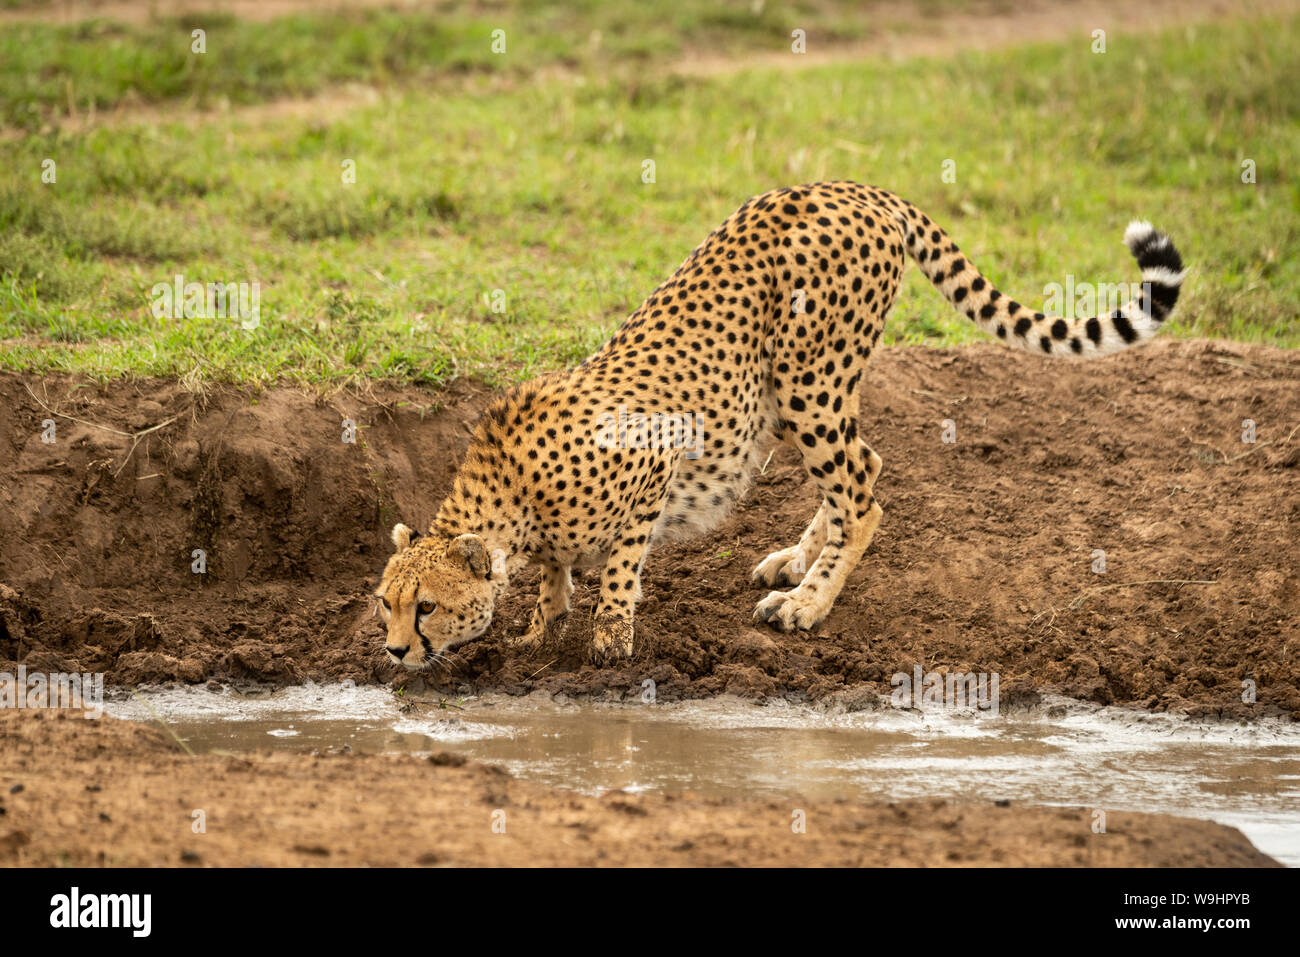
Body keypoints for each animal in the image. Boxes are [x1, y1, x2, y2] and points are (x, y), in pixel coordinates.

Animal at [374, 181, 1184, 669]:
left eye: (426, 607)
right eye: (386, 604)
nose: (392, 652)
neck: (510, 491)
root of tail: (855, 187)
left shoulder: (653, 463)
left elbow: (621, 566)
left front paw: (609, 640)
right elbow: (553, 573)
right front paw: (542, 625)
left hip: (808, 381)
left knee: (864, 491)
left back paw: (806, 603)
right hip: (785, 393)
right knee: (868, 467)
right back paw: (796, 562)